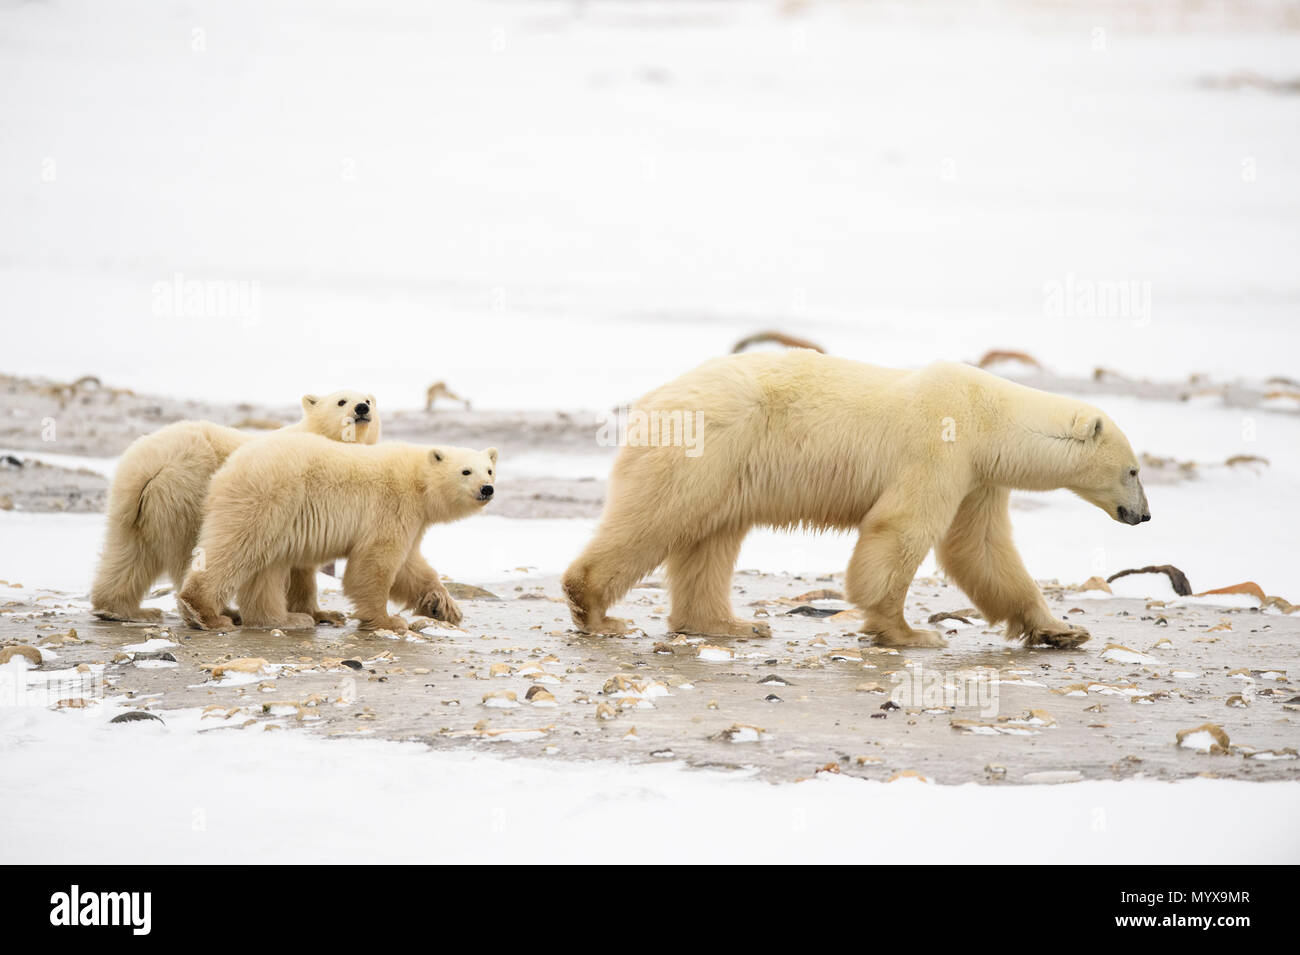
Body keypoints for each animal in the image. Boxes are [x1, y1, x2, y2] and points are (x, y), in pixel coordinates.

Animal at [90, 390, 379, 624]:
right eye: (341, 401)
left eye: (367, 399)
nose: (361, 408)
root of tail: (150, 462)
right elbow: (302, 569)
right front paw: (321, 614)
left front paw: (325, 614)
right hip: (187, 491)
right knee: (192, 550)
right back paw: (219, 612)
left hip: (132, 505)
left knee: (129, 553)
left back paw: (122, 610)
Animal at [177, 434, 497, 633]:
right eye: (466, 471)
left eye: (490, 469)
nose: (487, 488)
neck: (419, 481)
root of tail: (227, 469)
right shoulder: (392, 504)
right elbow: (375, 561)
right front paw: (388, 620)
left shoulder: (413, 519)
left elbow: (411, 567)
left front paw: (444, 608)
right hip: (268, 498)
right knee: (237, 548)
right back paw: (204, 613)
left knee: (266, 567)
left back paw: (286, 618)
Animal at [563, 350, 1150, 649]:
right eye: (1133, 469)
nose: (1143, 514)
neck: (989, 418)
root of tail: (651, 400)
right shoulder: (940, 450)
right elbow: (901, 529)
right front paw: (910, 632)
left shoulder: (978, 478)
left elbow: (981, 550)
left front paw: (1063, 629)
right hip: (708, 446)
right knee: (659, 518)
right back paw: (596, 611)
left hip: (730, 470)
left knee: (712, 538)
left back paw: (731, 624)